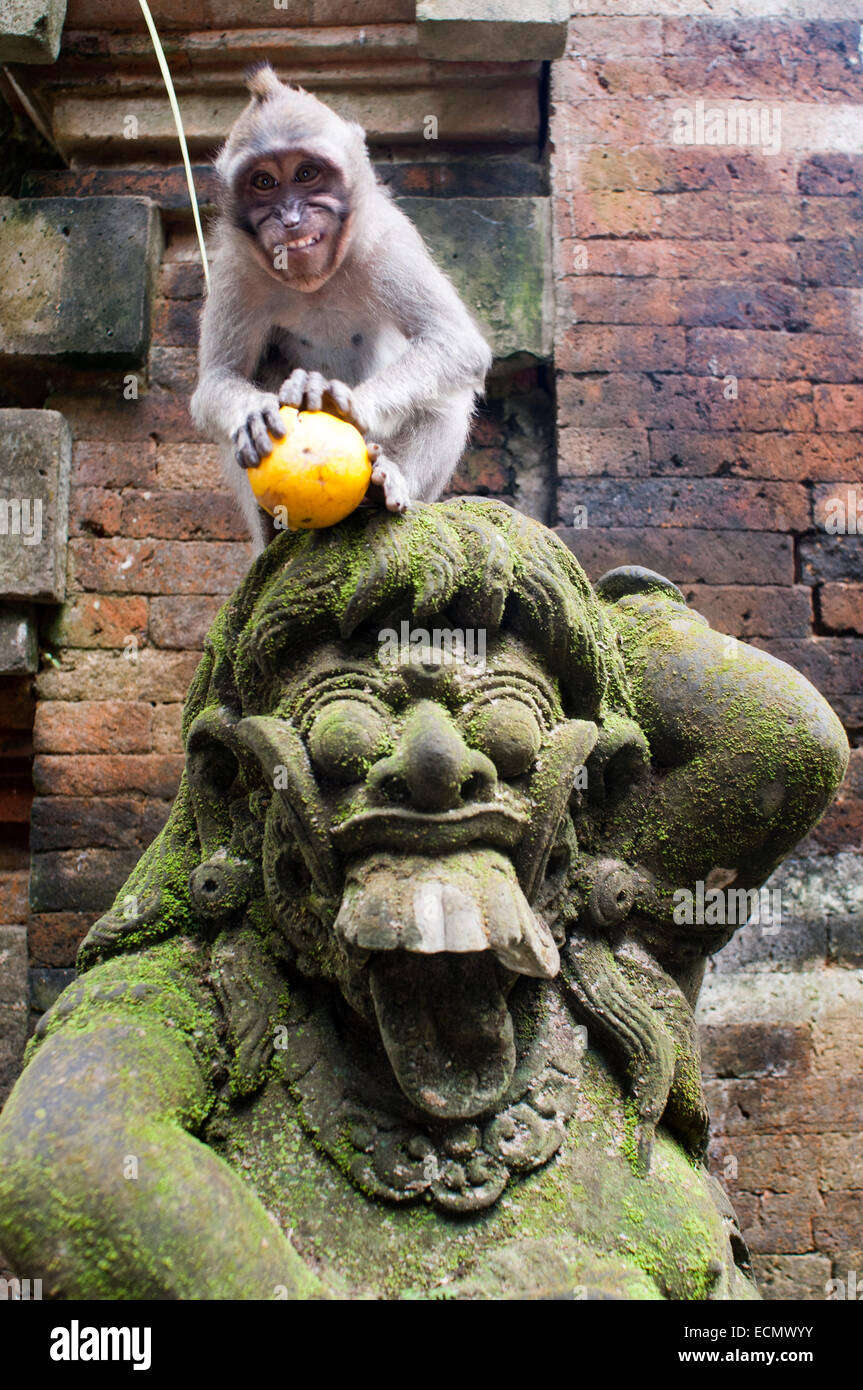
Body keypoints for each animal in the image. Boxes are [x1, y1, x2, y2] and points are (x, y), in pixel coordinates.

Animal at [190, 64, 493, 552]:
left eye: (306, 173)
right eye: (264, 182)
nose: (290, 219)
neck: (315, 281)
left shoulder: (387, 241)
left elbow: (455, 342)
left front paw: (342, 403)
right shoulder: (236, 269)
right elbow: (220, 378)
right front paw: (254, 418)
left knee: (448, 395)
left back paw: (385, 483)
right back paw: (271, 527)